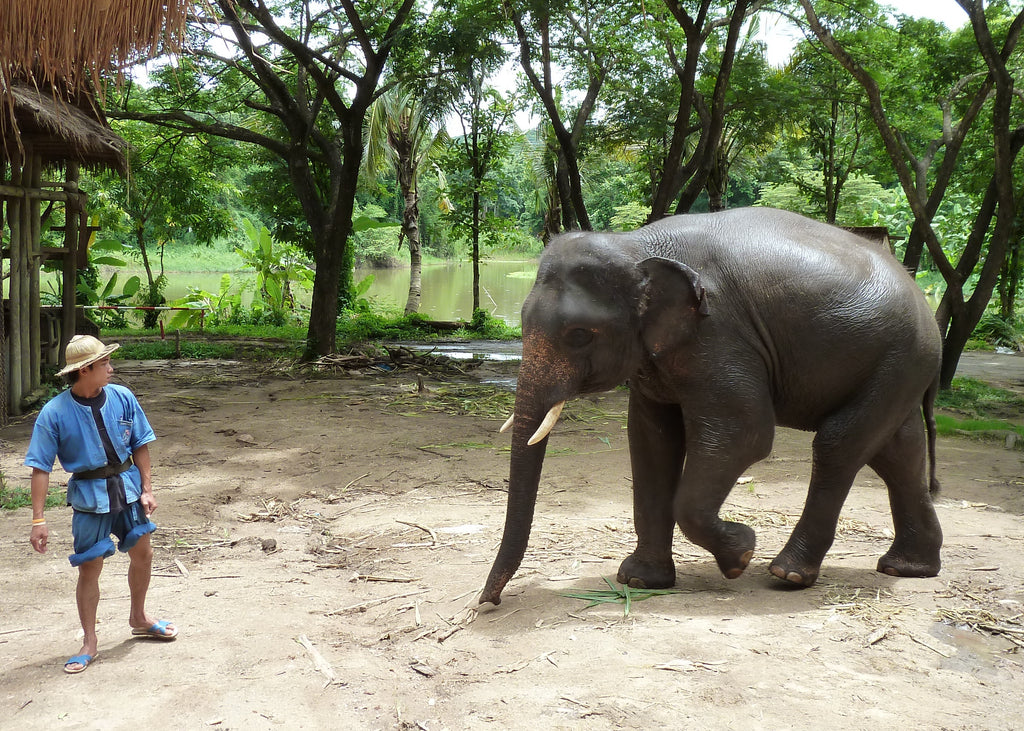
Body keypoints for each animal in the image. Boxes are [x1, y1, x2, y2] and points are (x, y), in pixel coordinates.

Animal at [480, 207, 943, 606]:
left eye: (578, 334)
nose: (487, 602)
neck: (634, 245)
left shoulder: (720, 334)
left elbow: (745, 435)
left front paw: (740, 555)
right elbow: (651, 442)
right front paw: (640, 580)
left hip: (900, 357)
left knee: (840, 446)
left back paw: (788, 574)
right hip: (898, 368)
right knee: (897, 453)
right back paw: (907, 568)